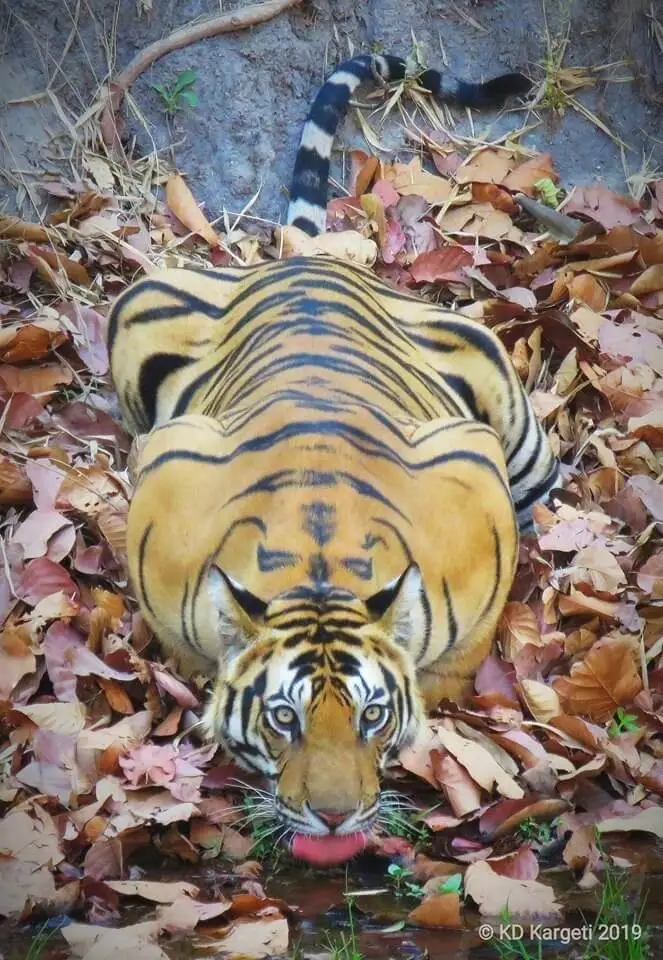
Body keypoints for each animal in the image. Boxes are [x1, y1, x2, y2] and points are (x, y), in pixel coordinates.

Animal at [108, 53, 559, 864]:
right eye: (282, 719)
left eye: (372, 716)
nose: (334, 817)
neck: (317, 573)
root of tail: (307, 263)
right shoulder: (164, 492)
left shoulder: (477, 491)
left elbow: (454, 663)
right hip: (140, 304)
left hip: (500, 395)